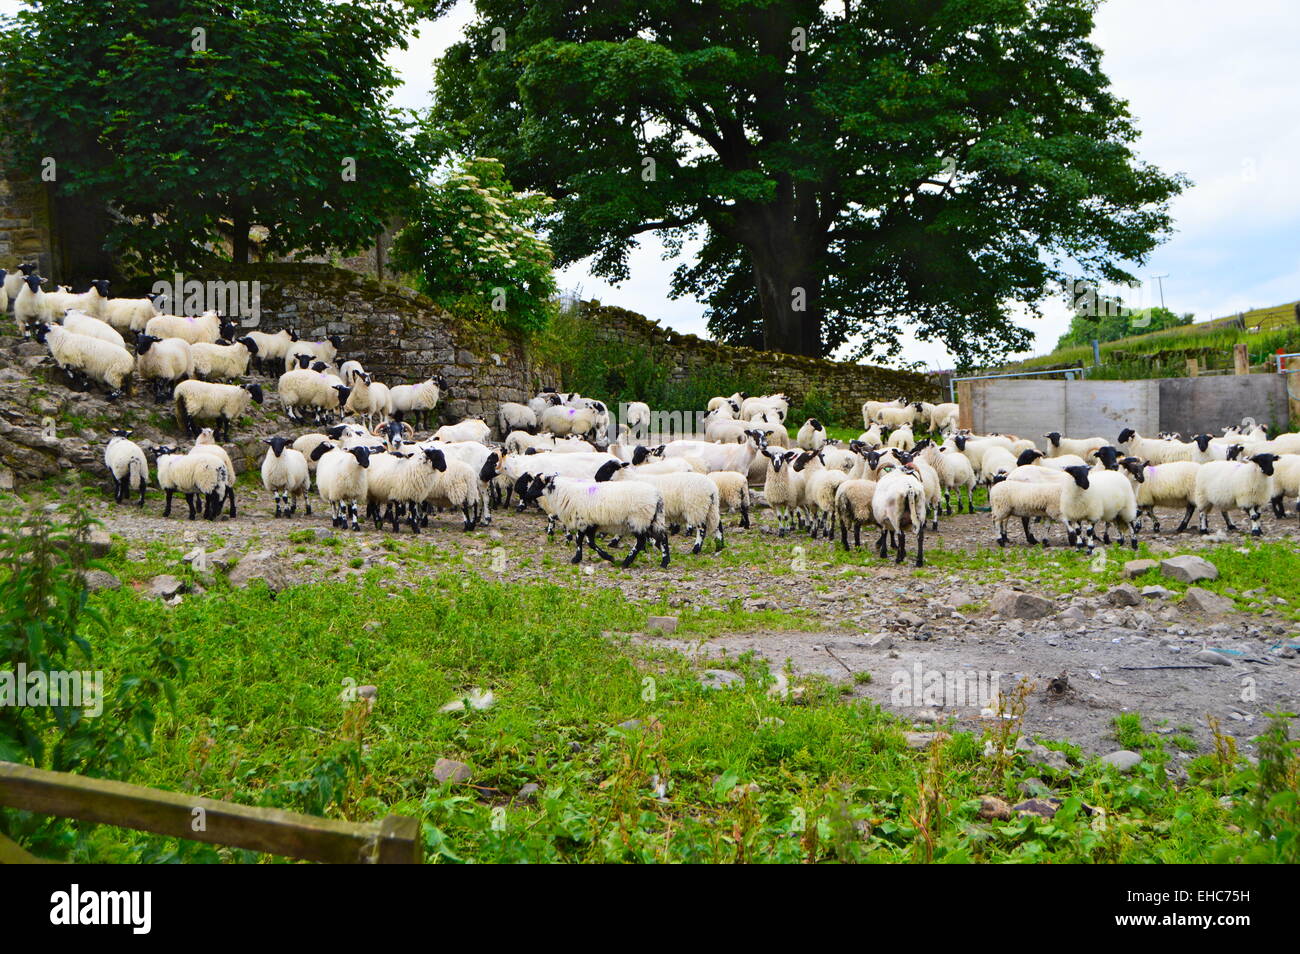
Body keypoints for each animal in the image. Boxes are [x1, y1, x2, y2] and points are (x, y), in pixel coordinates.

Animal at [538, 474, 671, 568]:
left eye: (536, 482)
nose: (530, 494)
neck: (565, 493)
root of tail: (657, 496)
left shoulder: (584, 521)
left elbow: (584, 541)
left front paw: (607, 557)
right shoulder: (589, 523)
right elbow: (586, 541)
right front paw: (580, 557)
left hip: (638, 520)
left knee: (641, 542)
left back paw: (626, 562)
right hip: (653, 520)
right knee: (663, 537)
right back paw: (664, 562)